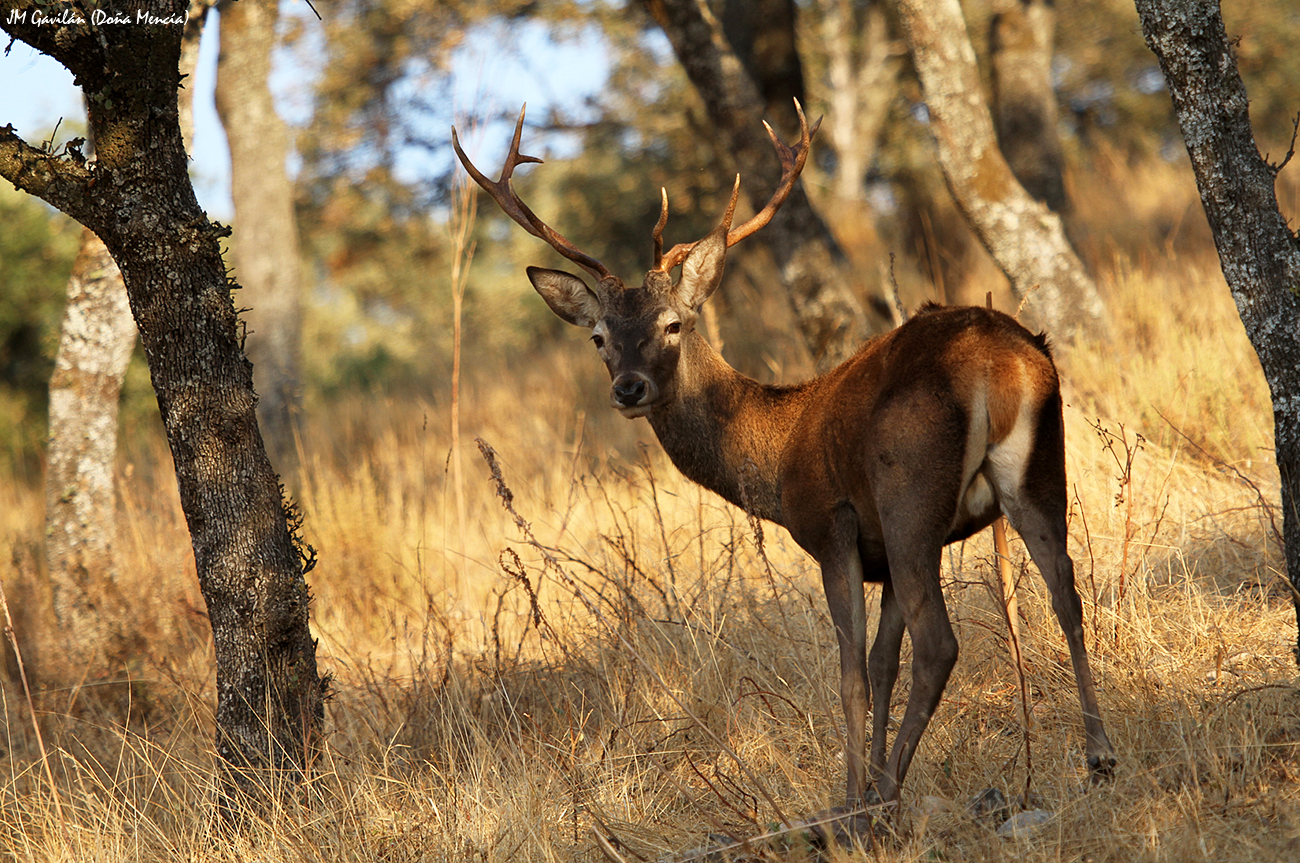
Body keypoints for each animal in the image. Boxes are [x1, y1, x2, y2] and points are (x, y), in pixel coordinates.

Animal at [452, 102, 1115, 808]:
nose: (628, 388)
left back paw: (882, 803)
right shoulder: (877, 553)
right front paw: (868, 781)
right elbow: (882, 663)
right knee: (1067, 590)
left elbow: (853, 673)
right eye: (600, 337)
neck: (775, 447)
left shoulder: (834, 526)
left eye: (673, 325)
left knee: (940, 643)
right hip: (1040, 470)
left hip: (909, 492)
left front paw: (856, 794)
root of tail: (1000, 359)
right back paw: (1098, 754)